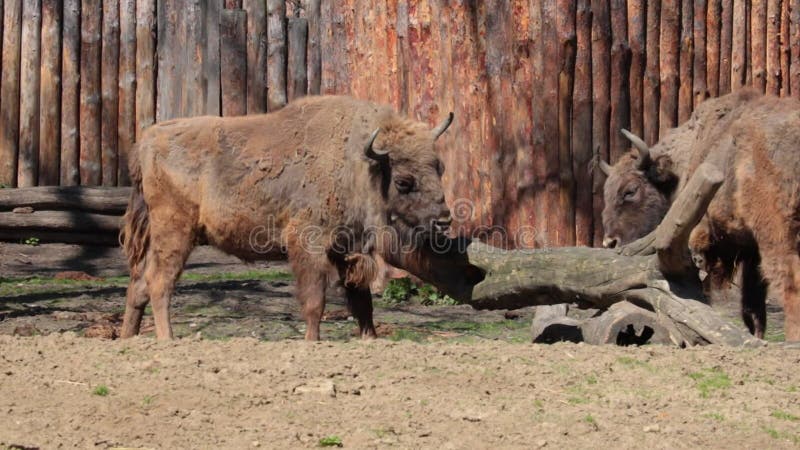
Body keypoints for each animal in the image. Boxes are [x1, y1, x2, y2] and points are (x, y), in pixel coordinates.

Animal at [120, 95, 454, 340]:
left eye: (439, 167)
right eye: (403, 181)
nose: (443, 220)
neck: (359, 163)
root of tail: (145, 142)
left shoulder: (349, 252)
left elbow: (363, 304)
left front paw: (369, 339)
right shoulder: (309, 247)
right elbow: (315, 302)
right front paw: (311, 342)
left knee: (138, 285)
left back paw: (128, 338)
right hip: (175, 233)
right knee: (158, 282)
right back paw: (167, 339)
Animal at [600, 89, 800, 341]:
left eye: (630, 191)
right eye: (606, 192)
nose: (610, 242)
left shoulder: (701, 241)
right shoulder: (751, 251)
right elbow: (752, 304)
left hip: (778, 235)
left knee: (790, 280)